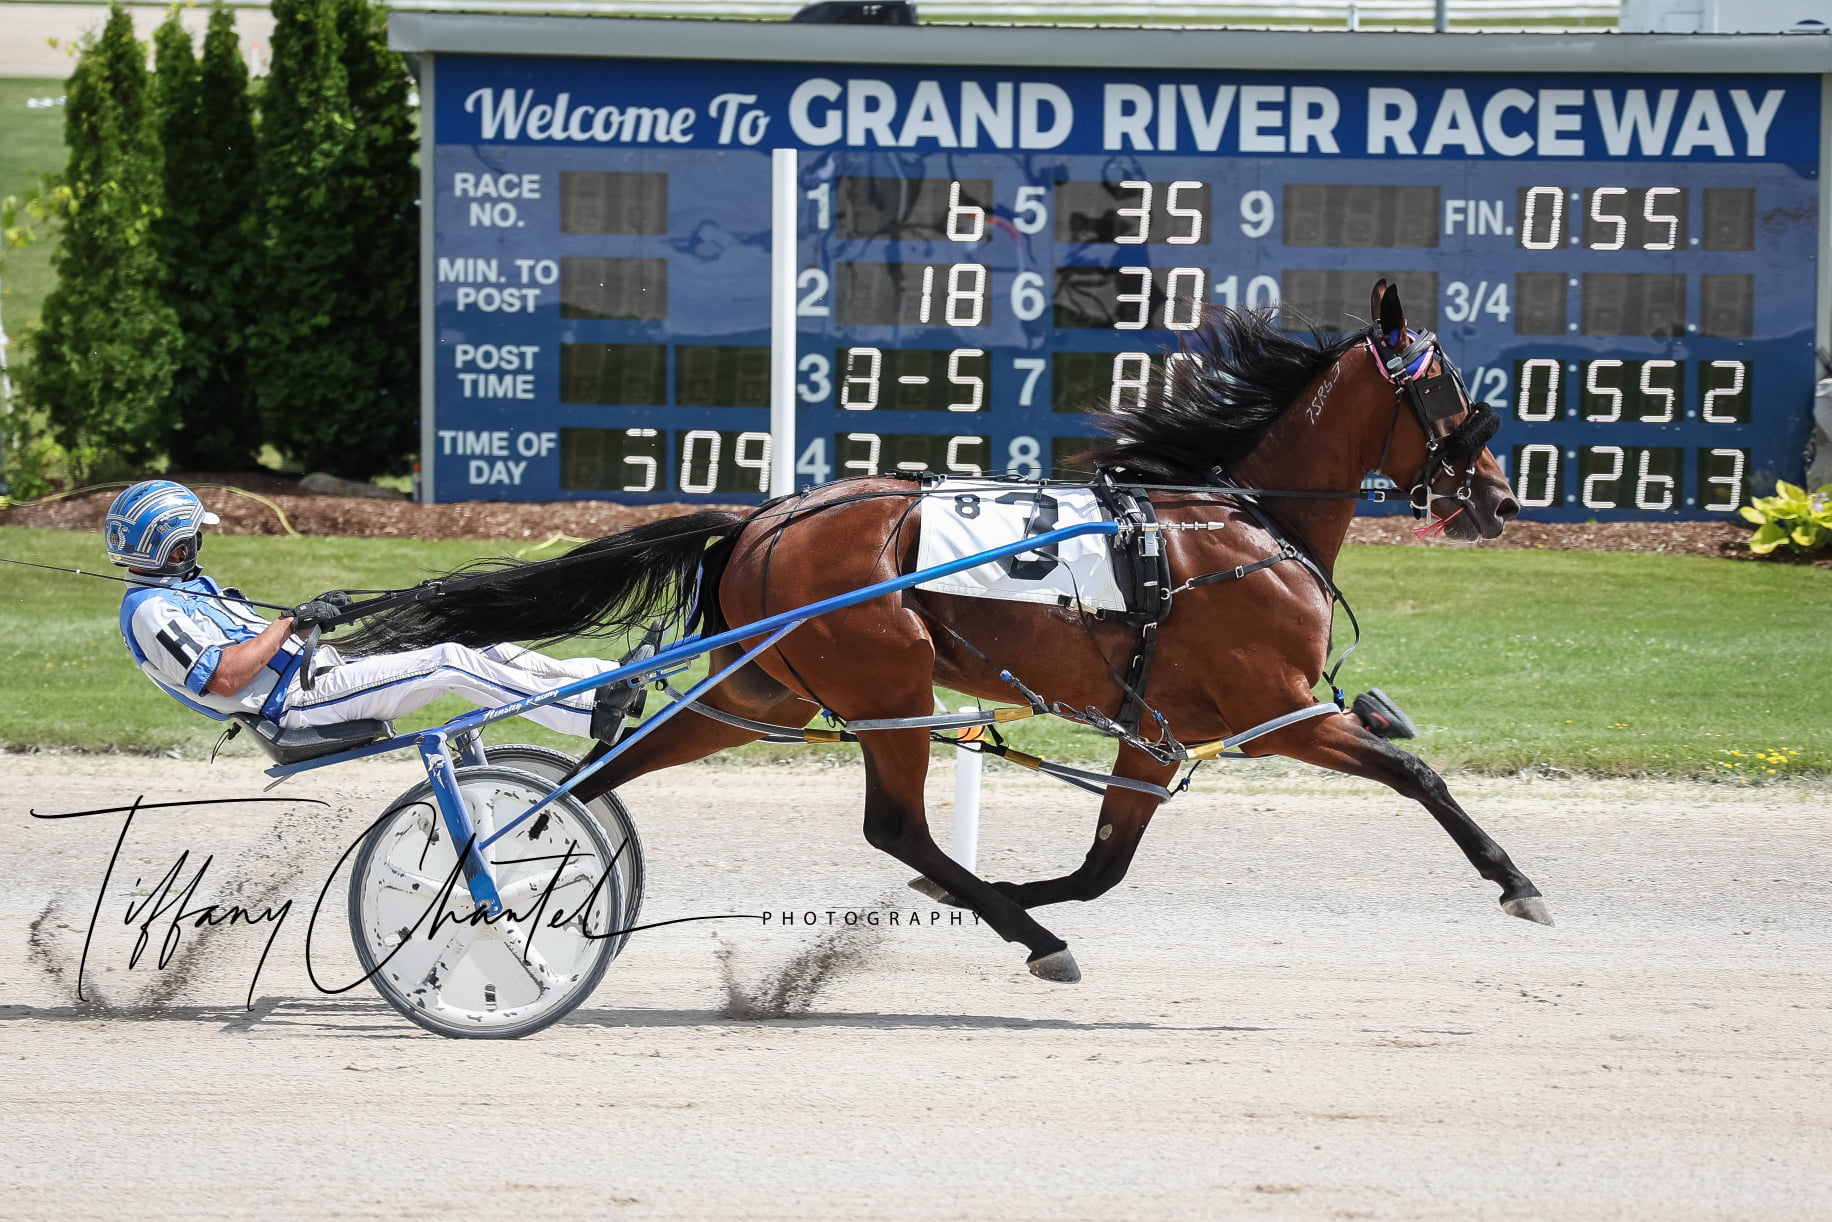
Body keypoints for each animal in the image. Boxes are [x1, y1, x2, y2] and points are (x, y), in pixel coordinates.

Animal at [346, 280, 1548, 983]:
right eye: (1449, 390)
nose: (1497, 493)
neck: (1240, 524)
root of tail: (760, 518)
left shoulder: (1155, 731)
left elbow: (1104, 862)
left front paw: (1019, 896)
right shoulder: (1279, 709)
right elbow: (1415, 773)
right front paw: (1514, 880)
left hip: (757, 690)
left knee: (605, 774)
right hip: (891, 680)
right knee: (894, 826)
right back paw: (1029, 938)